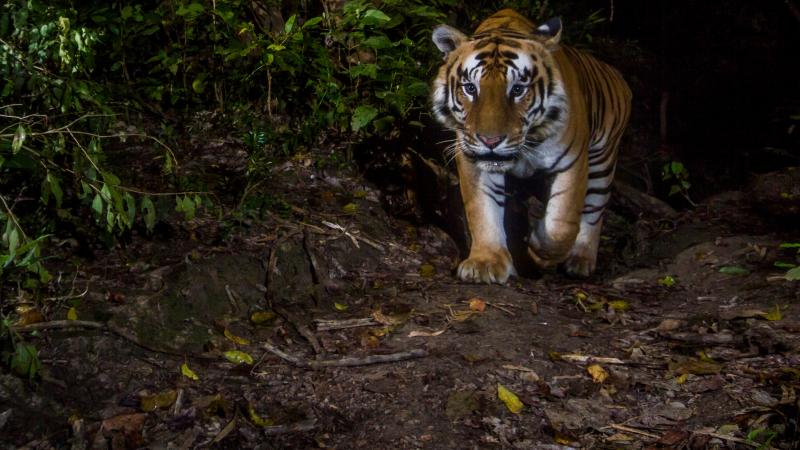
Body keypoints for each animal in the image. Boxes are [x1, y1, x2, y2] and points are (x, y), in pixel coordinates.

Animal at [431, 9, 631, 283]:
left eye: (517, 90)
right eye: (470, 88)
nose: (490, 141)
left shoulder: (573, 162)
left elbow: (562, 223)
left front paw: (539, 248)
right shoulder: (474, 159)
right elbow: (482, 210)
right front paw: (485, 263)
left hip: (602, 162)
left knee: (594, 211)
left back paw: (580, 260)